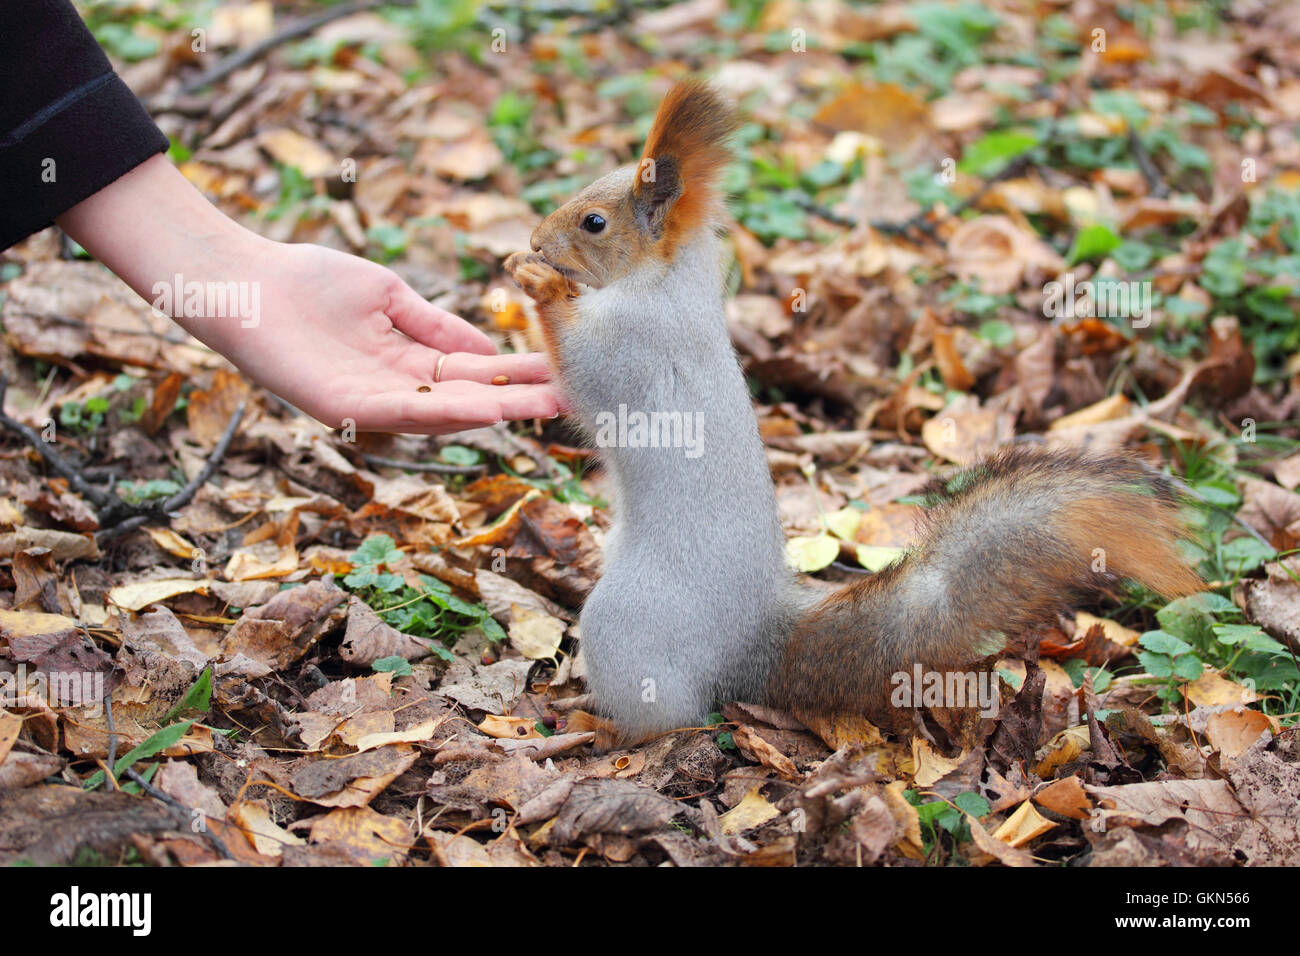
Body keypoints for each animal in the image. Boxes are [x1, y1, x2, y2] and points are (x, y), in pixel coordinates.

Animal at [504, 80, 1203, 747]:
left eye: (594, 222)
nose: (533, 239)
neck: (664, 282)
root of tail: (751, 644)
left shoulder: (638, 347)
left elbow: (587, 371)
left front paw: (539, 284)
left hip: (630, 622)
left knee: (668, 719)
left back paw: (593, 728)